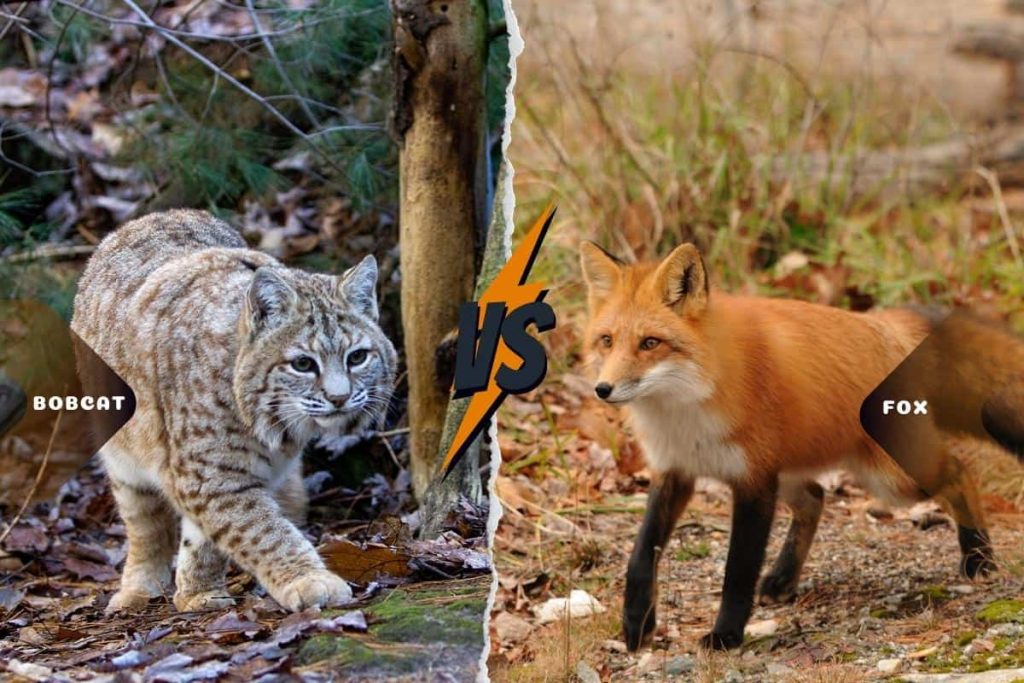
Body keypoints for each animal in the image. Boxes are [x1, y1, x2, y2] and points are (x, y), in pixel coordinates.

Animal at [579, 241, 1023, 652]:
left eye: (650, 343)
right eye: (607, 340)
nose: (603, 389)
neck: (685, 408)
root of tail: (884, 323)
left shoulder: (754, 481)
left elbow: (738, 571)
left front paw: (726, 635)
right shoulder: (675, 470)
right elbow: (640, 556)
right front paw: (637, 623)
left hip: (894, 478)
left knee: (961, 473)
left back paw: (979, 558)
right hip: (796, 470)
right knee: (815, 497)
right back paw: (783, 578)